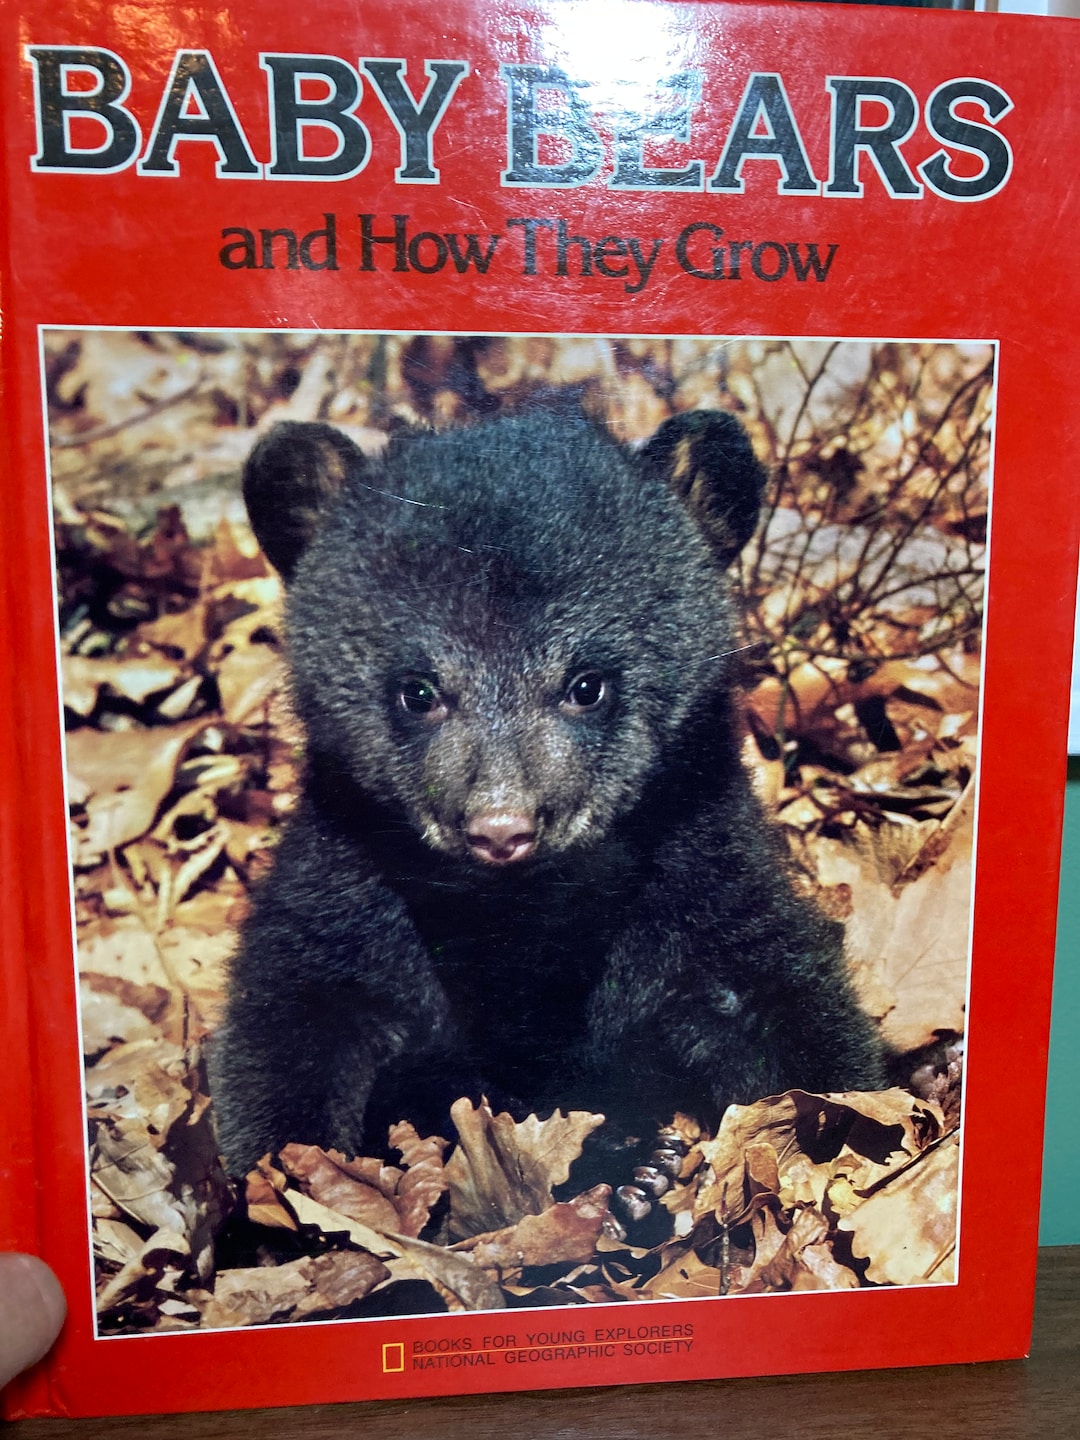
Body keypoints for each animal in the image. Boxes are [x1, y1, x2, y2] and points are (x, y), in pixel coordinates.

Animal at [210, 405, 885, 1200]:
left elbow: (783, 1006)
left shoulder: (700, 869)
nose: (501, 828)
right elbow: (292, 1026)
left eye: (587, 683)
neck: (523, 923)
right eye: (418, 690)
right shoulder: (347, 886)